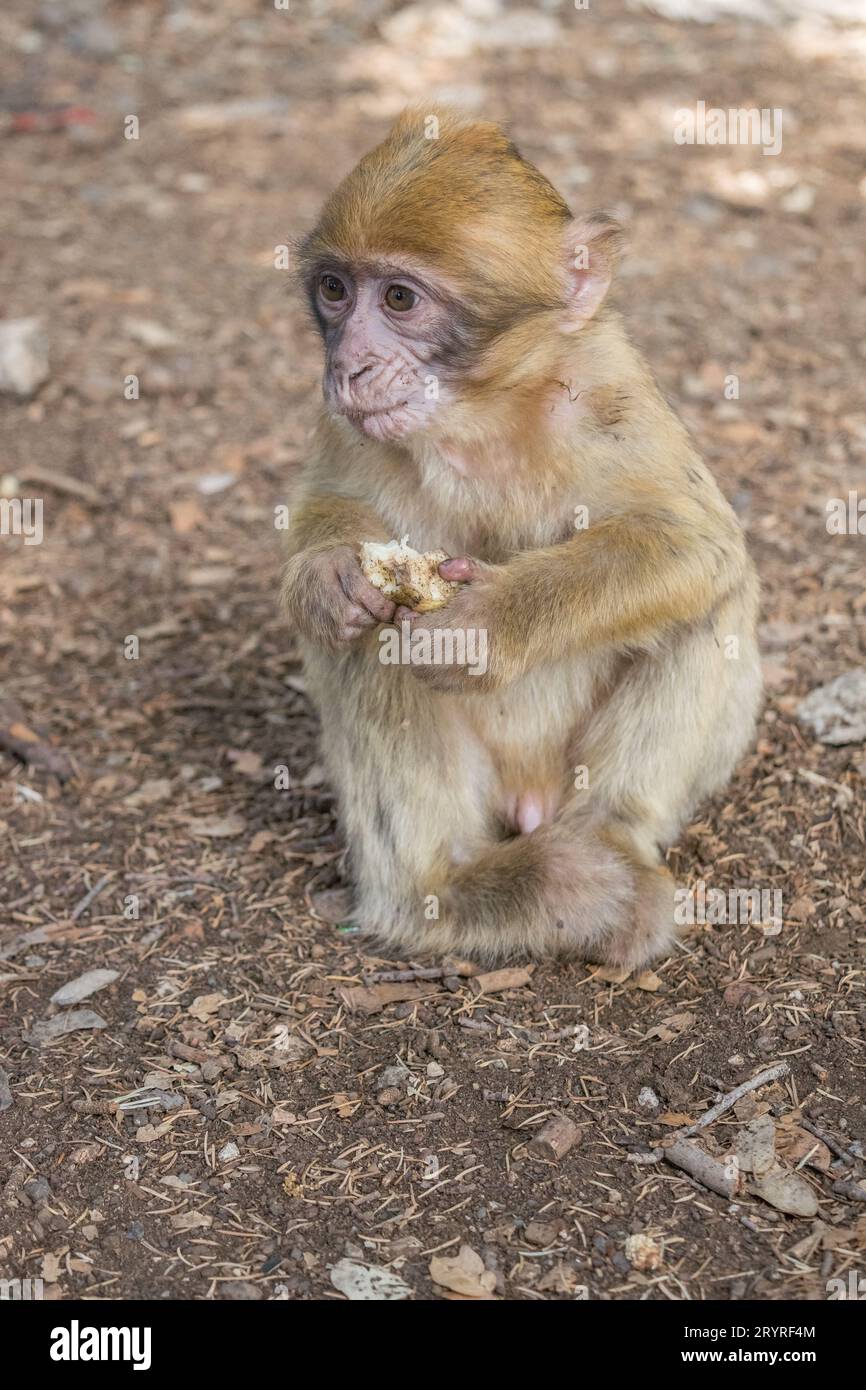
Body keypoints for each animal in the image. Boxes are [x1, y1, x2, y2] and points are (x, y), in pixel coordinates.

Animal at [281, 107, 761, 970]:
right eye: (335, 290)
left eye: (398, 297)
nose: (349, 367)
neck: (480, 417)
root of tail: (531, 799)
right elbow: (330, 514)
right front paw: (329, 574)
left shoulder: (607, 382)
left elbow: (695, 544)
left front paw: (484, 628)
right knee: (367, 641)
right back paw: (445, 894)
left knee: (710, 604)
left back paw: (607, 853)